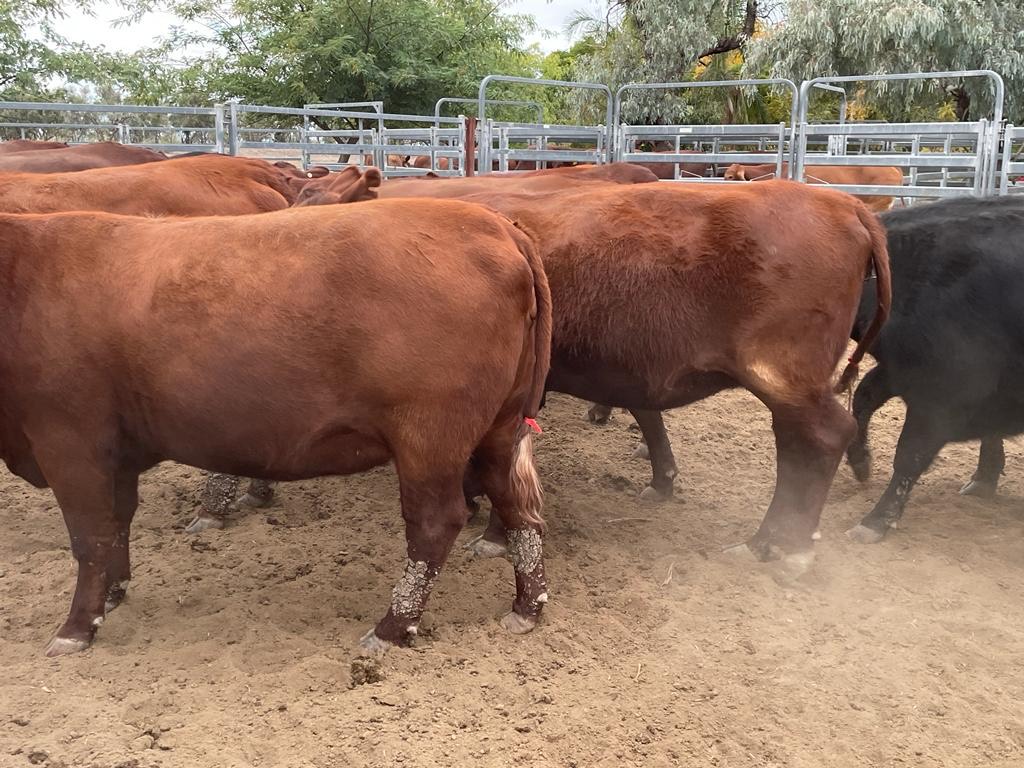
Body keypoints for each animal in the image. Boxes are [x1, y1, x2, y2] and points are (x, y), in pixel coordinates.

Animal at [0, 198, 551, 656]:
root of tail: (495, 223)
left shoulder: (69, 441)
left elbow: (90, 536)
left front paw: (76, 627)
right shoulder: (113, 451)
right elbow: (116, 523)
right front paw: (113, 594)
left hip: (428, 438)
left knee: (436, 523)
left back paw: (392, 627)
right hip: (498, 429)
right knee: (518, 506)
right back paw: (527, 608)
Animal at [343, 179, 892, 571]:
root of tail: (844, 204)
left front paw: (494, 534)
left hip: (785, 378)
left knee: (822, 438)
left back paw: (780, 546)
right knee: (798, 447)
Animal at [842, 195, 1024, 542]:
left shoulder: (945, 394)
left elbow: (909, 454)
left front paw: (876, 520)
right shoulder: (901, 371)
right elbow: (862, 399)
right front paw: (860, 462)